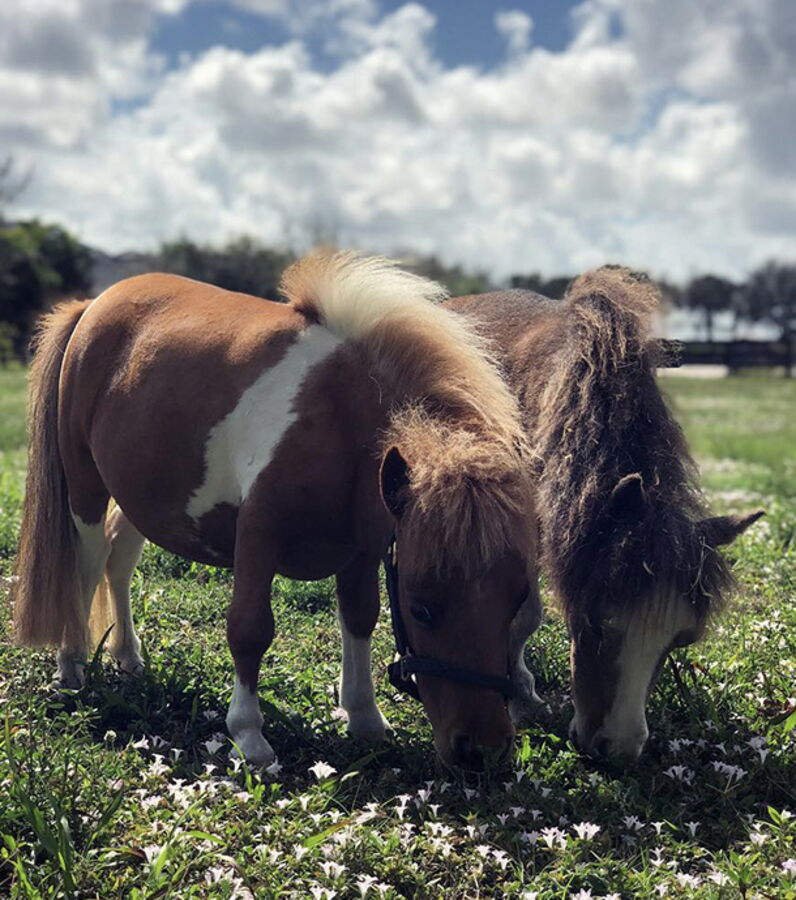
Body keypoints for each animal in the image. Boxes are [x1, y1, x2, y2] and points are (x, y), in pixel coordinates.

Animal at [12, 252, 539, 771]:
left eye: (516, 600)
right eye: (421, 608)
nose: (484, 750)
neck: (340, 417)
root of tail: (93, 306)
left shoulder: (363, 548)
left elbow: (360, 617)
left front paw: (364, 717)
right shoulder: (258, 537)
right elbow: (250, 628)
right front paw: (250, 736)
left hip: (138, 494)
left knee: (118, 564)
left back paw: (126, 655)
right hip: (85, 488)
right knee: (86, 565)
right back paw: (72, 666)